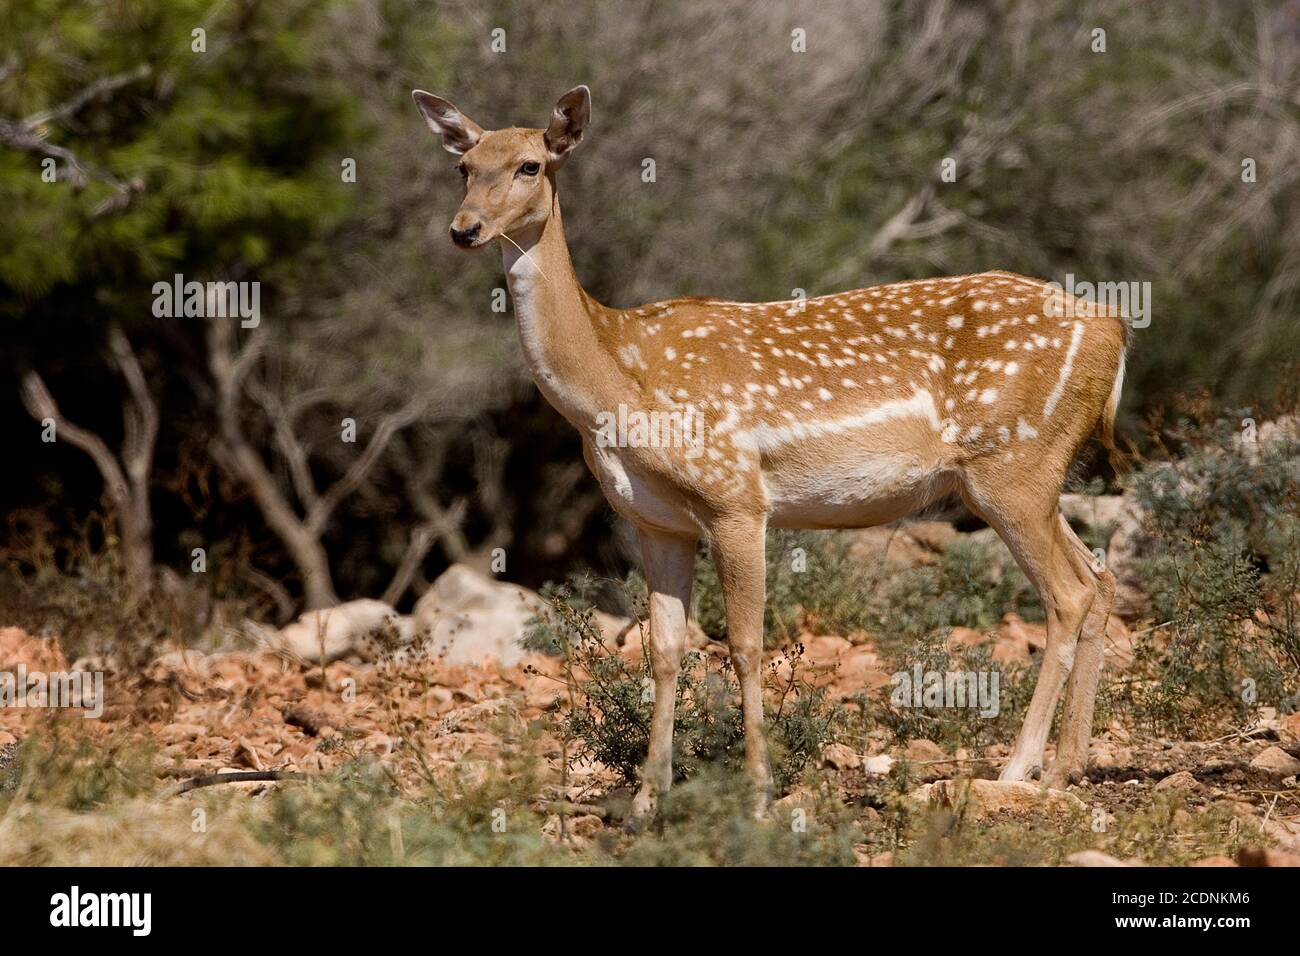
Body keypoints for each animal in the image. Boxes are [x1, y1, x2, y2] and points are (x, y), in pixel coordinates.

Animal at [412, 84, 1129, 818]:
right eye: (464, 166)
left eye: (530, 165)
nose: (464, 228)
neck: (615, 380)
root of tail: (1116, 328)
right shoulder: (654, 520)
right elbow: (664, 649)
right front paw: (647, 798)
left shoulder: (736, 494)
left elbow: (746, 644)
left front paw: (757, 790)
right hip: (1034, 475)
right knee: (1100, 580)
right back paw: (1064, 767)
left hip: (1011, 466)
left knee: (1068, 595)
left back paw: (1018, 770)